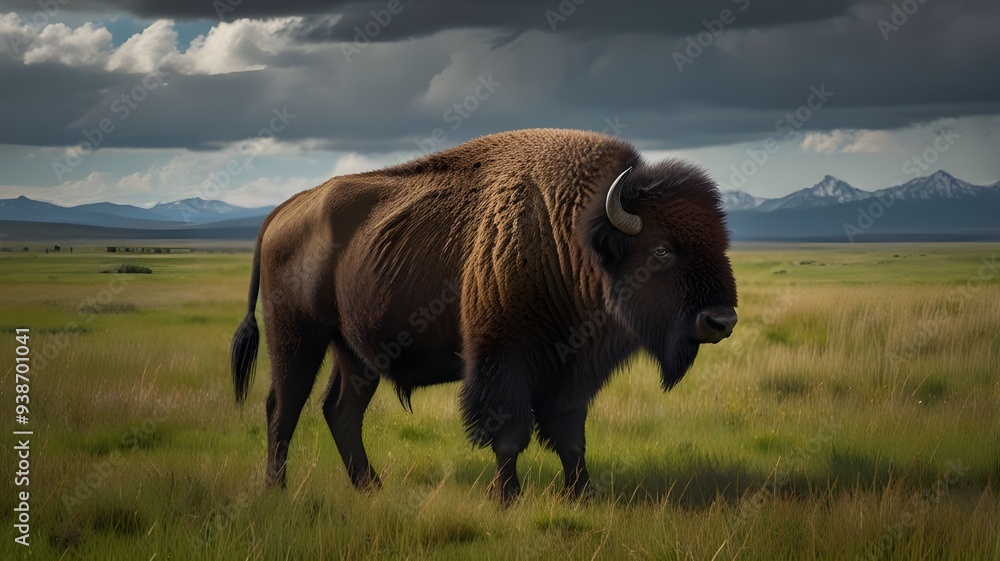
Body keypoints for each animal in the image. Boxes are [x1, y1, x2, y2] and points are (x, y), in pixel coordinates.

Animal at [231, 128, 737, 501]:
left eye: (721, 244)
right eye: (661, 250)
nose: (721, 321)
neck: (568, 233)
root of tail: (284, 211)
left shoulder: (574, 372)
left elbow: (570, 435)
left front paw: (582, 494)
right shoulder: (502, 360)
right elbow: (510, 433)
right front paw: (505, 497)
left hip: (355, 352)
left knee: (341, 410)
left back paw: (371, 487)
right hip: (298, 337)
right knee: (283, 407)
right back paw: (277, 489)